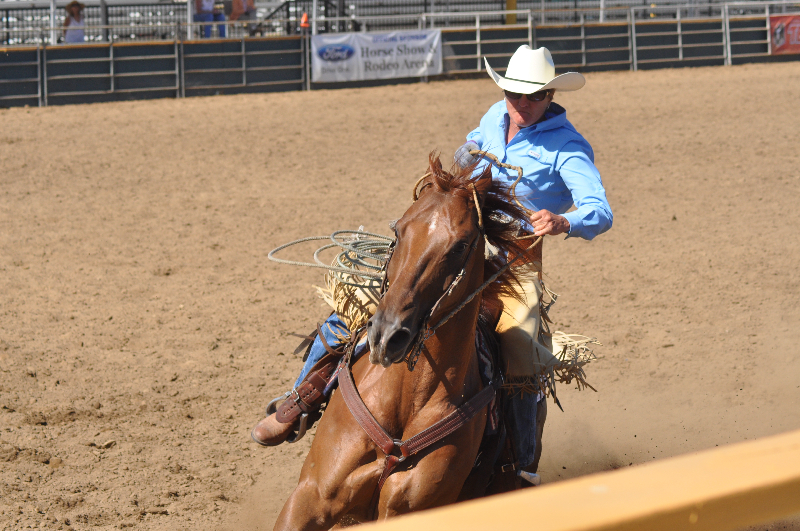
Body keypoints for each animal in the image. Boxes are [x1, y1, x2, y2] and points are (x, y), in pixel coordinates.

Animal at [273, 153, 537, 530]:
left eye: (460, 245)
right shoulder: (309, 498)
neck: (403, 399)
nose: (387, 335)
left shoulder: (407, 511)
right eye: (398, 231)